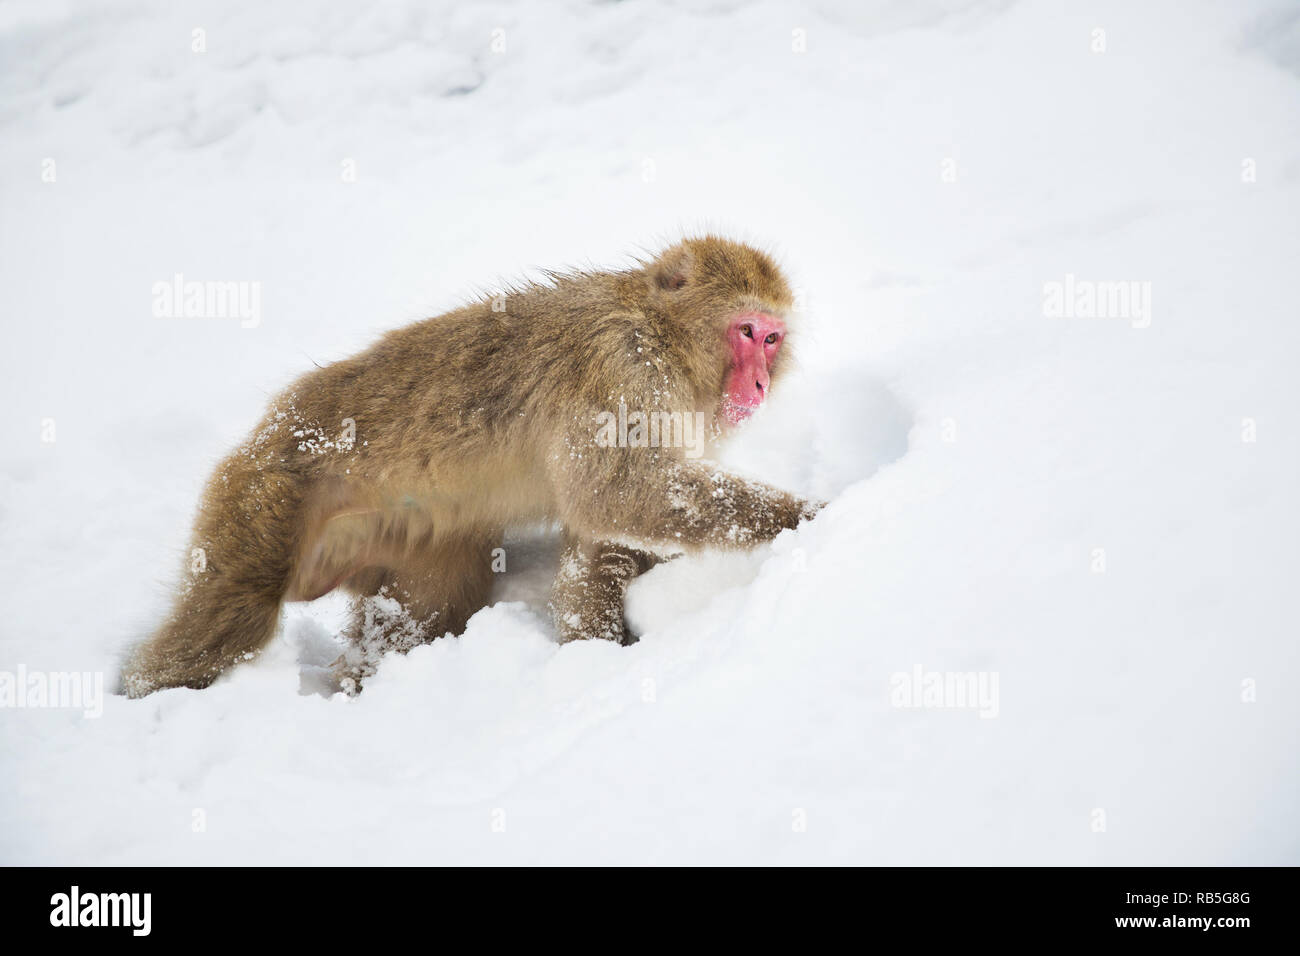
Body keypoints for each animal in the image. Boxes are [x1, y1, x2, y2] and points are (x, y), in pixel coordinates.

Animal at [121, 235, 822, 697]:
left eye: (773, 339)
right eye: (746, 331)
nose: (760, 383)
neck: (666, 338)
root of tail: (269, 427)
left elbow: (603, 530)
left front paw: (592, 654)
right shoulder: (622, 366)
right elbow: (618, 493)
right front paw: (813, 516)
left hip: (402, 540)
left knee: (423, 608)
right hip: (263, 495)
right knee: (230, 617)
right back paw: (151, 685)